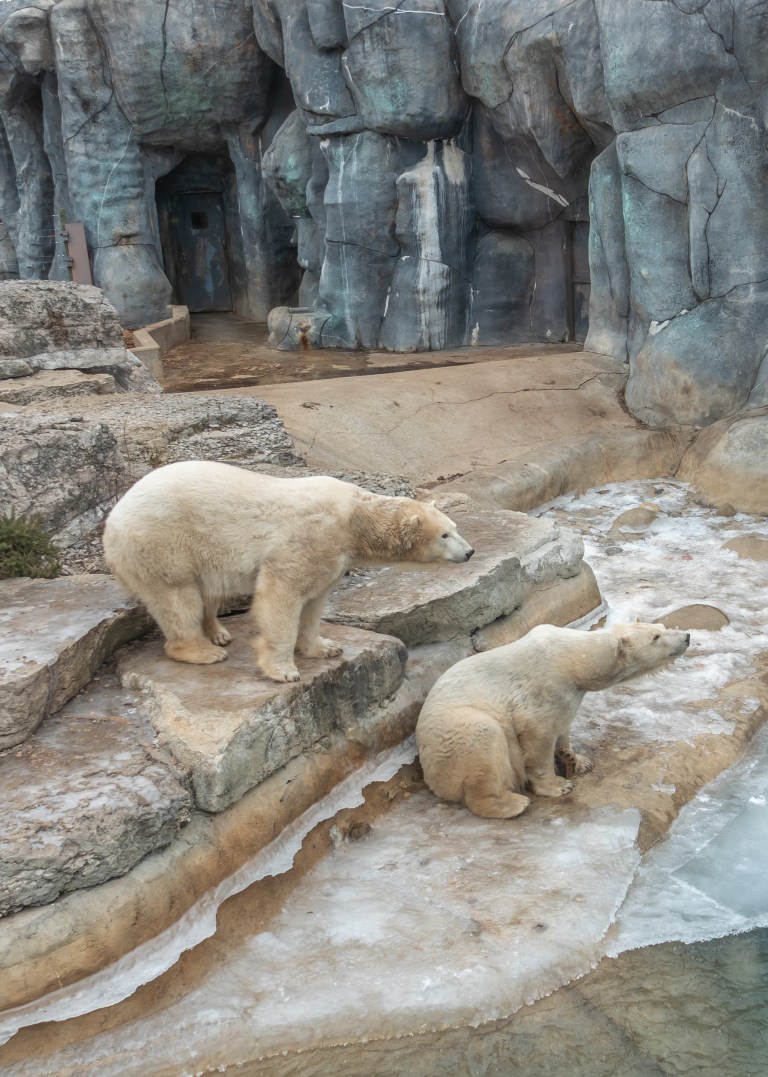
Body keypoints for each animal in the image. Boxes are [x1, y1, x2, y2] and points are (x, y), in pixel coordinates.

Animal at [103, 460, 474, 683]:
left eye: (455, 528)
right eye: (445, 535)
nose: (470, 552)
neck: (353, 518)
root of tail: (112, 518)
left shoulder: (332, 554)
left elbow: (314, 601)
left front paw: (325, 647)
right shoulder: (309, 537)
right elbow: (282, 596)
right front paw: (284, 671)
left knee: (207, 591)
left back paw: (218, 632)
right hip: (161, 542)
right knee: (178, 599)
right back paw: (203, 650)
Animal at [415, 622, 690, 819]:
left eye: (662, 626)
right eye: (656, 637)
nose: (687, 636)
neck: (570, 660)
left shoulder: (568, 695)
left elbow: (563, 726)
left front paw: (577, 760)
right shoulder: (543, 690)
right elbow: (539, 738)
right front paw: (558, 785)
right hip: (454, 736)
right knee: (484, 740)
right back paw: (514, 803)